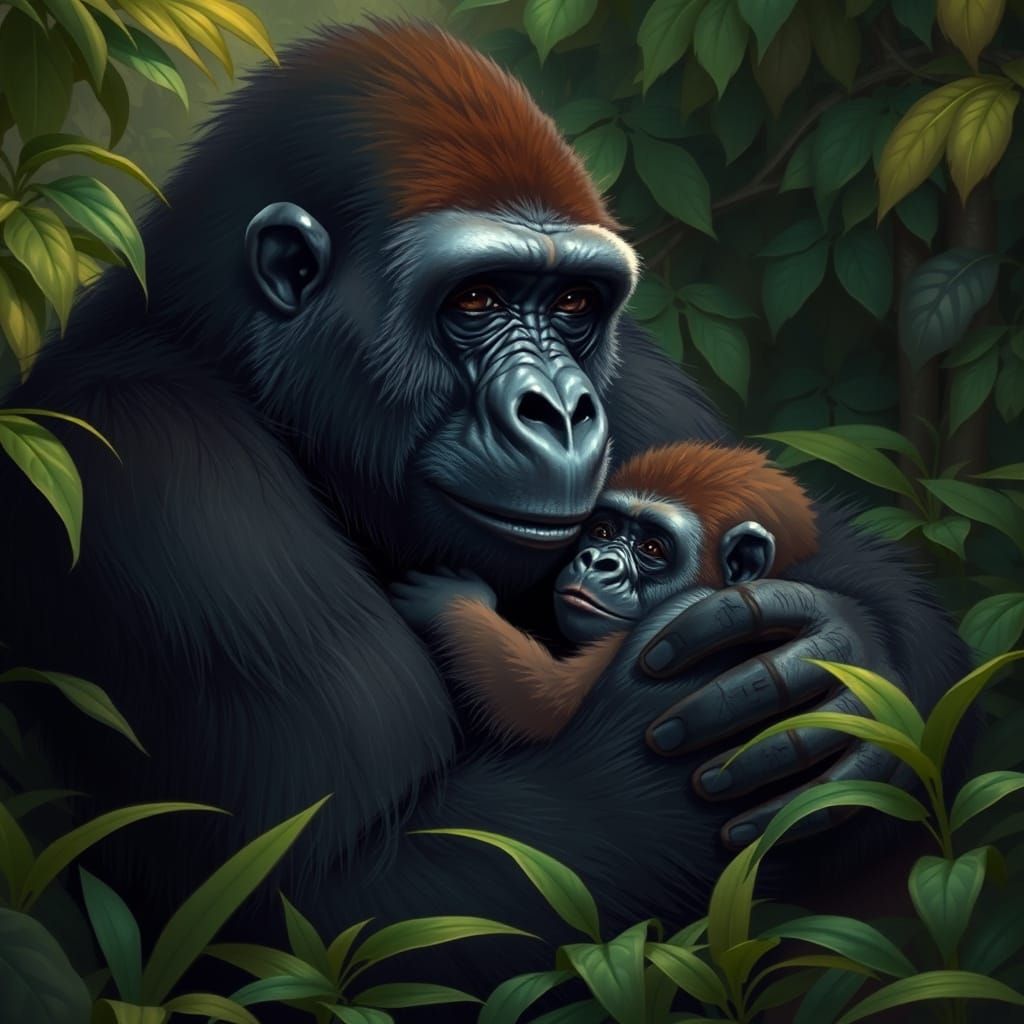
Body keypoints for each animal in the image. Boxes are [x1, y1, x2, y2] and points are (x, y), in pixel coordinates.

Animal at [392, 441, 818, 743]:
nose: (597, 561)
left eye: (652, 548)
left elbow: (541, 704)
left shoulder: (666, 626)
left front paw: (451, 600)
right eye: (602, 531)